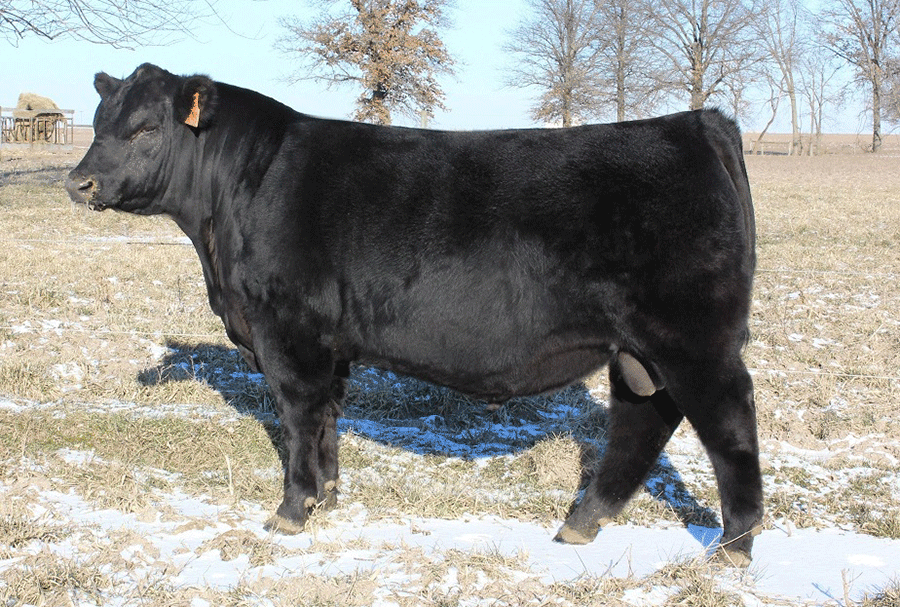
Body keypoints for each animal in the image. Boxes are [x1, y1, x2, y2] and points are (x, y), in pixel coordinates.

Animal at [66, 63, 762, 567]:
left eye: (147, 129)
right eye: (99, 121)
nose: (79, 183)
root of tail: (696, 124)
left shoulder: (286, 332)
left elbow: (296, 418)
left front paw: (291, 510)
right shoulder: (329, 345)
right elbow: (326, 419)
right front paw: (328, 497)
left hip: (695, 339)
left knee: (728, 424)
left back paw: (735, 547)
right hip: (640, 351)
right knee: (644, 424)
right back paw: (581, 525)